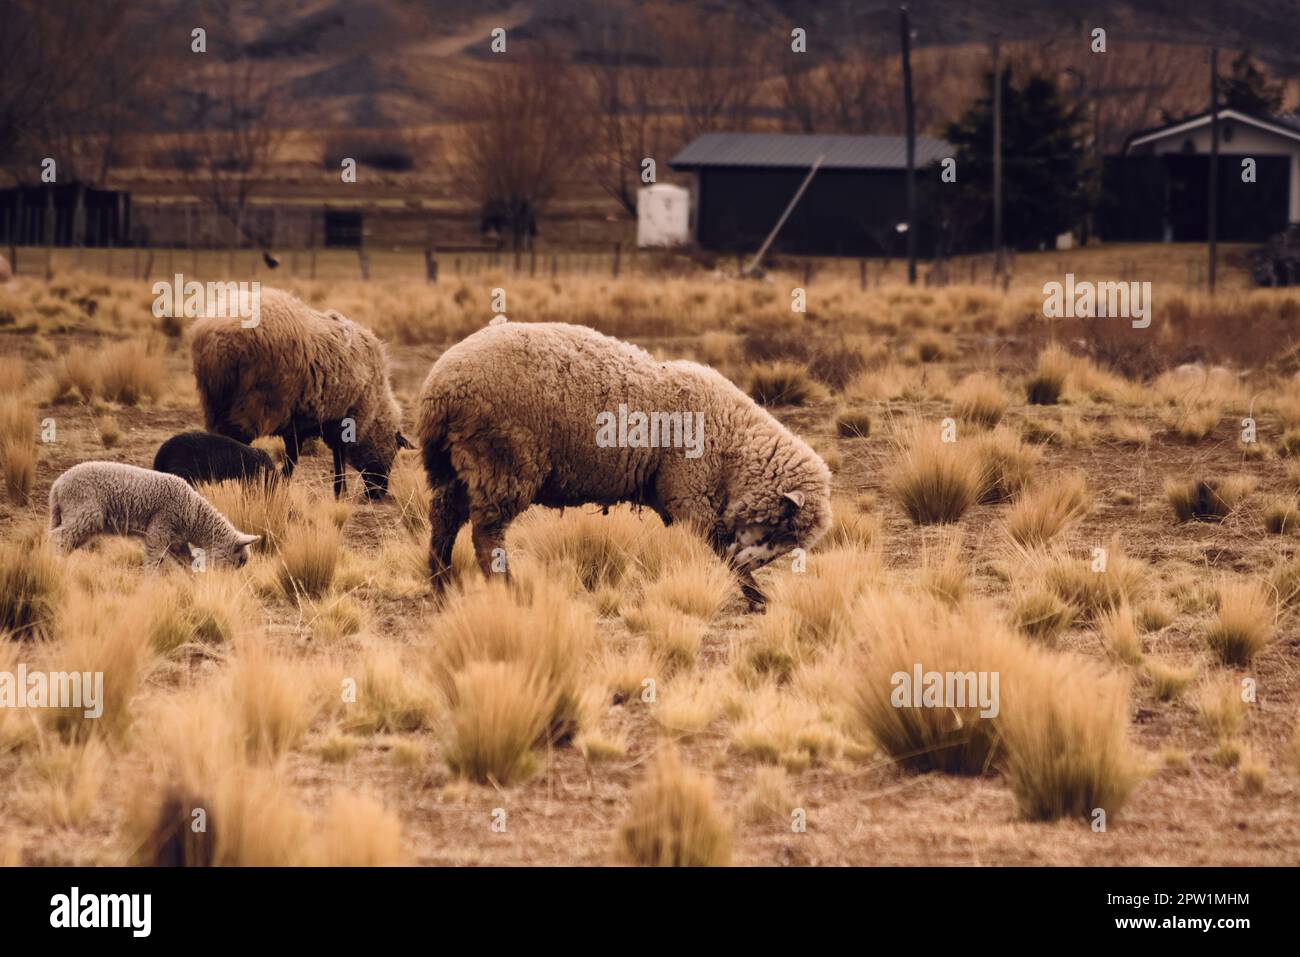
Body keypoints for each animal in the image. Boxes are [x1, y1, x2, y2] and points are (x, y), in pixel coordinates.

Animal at [48, 461, 260, 569]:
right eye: (239, 561)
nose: (228, 583)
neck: (193, 514)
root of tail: (57, 486)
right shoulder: (159, 531)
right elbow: (155, 562)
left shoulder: (176, 541)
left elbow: (187, 562)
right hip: (83, 512)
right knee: (57, 537)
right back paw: (53, 563)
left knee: (64, 540)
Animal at [189, 287, 412, 499]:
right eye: (394, 452)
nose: (378, 493)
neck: (375, 411)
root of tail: (215, 336)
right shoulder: (345, 419)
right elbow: (337, 456)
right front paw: (340, 492)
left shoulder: (298, 423)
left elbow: (293, 456)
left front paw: (282, 485)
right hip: (251, 406)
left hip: (212, 403)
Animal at [415, 322, 832, 608]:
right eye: (779, 529)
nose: (752, 564)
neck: (731, 443)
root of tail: (440, 388)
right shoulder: (691, 496)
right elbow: (717, 548)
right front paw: (752, 592)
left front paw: (752, 590)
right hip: (502, 463)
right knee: (486, 535)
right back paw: (504, 588)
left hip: (456, 466)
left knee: (444, 518)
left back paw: (441, 583)